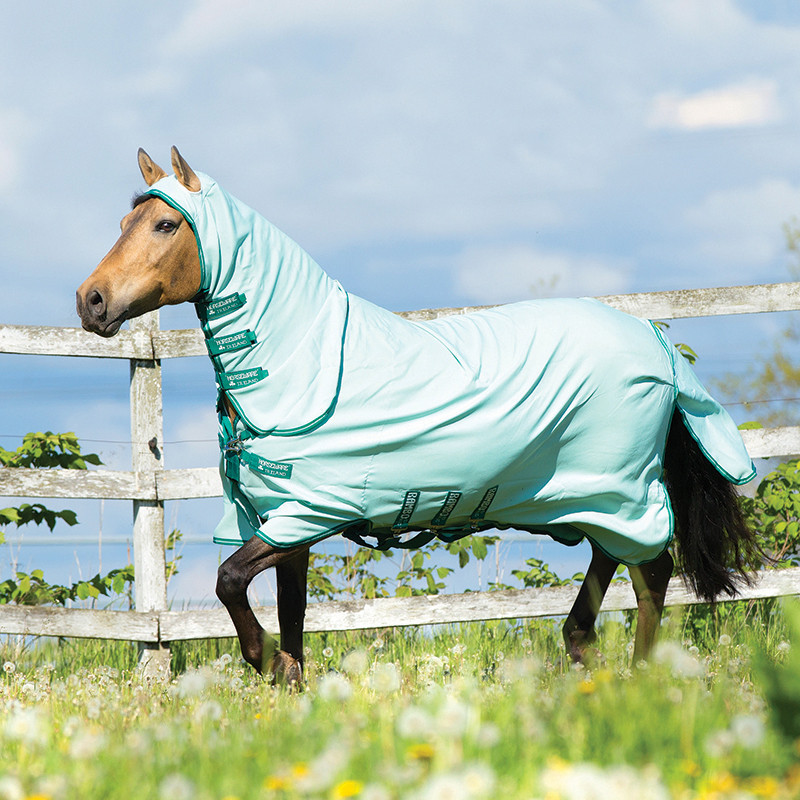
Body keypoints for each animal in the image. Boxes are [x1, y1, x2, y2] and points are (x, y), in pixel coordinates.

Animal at [77, 147, 761, 683]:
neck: (304, 364)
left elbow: (227, 581)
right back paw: (588, 658)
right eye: (123, 221)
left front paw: (265, 661)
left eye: (166, 224)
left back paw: (641, 679)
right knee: (607, 580)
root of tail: (653, 339)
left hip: (619, 490)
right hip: (587, 497)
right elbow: (290, 621)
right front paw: (288, 681)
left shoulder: (311, 513)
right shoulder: (284, 527)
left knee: (653, 571)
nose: (91, 301)